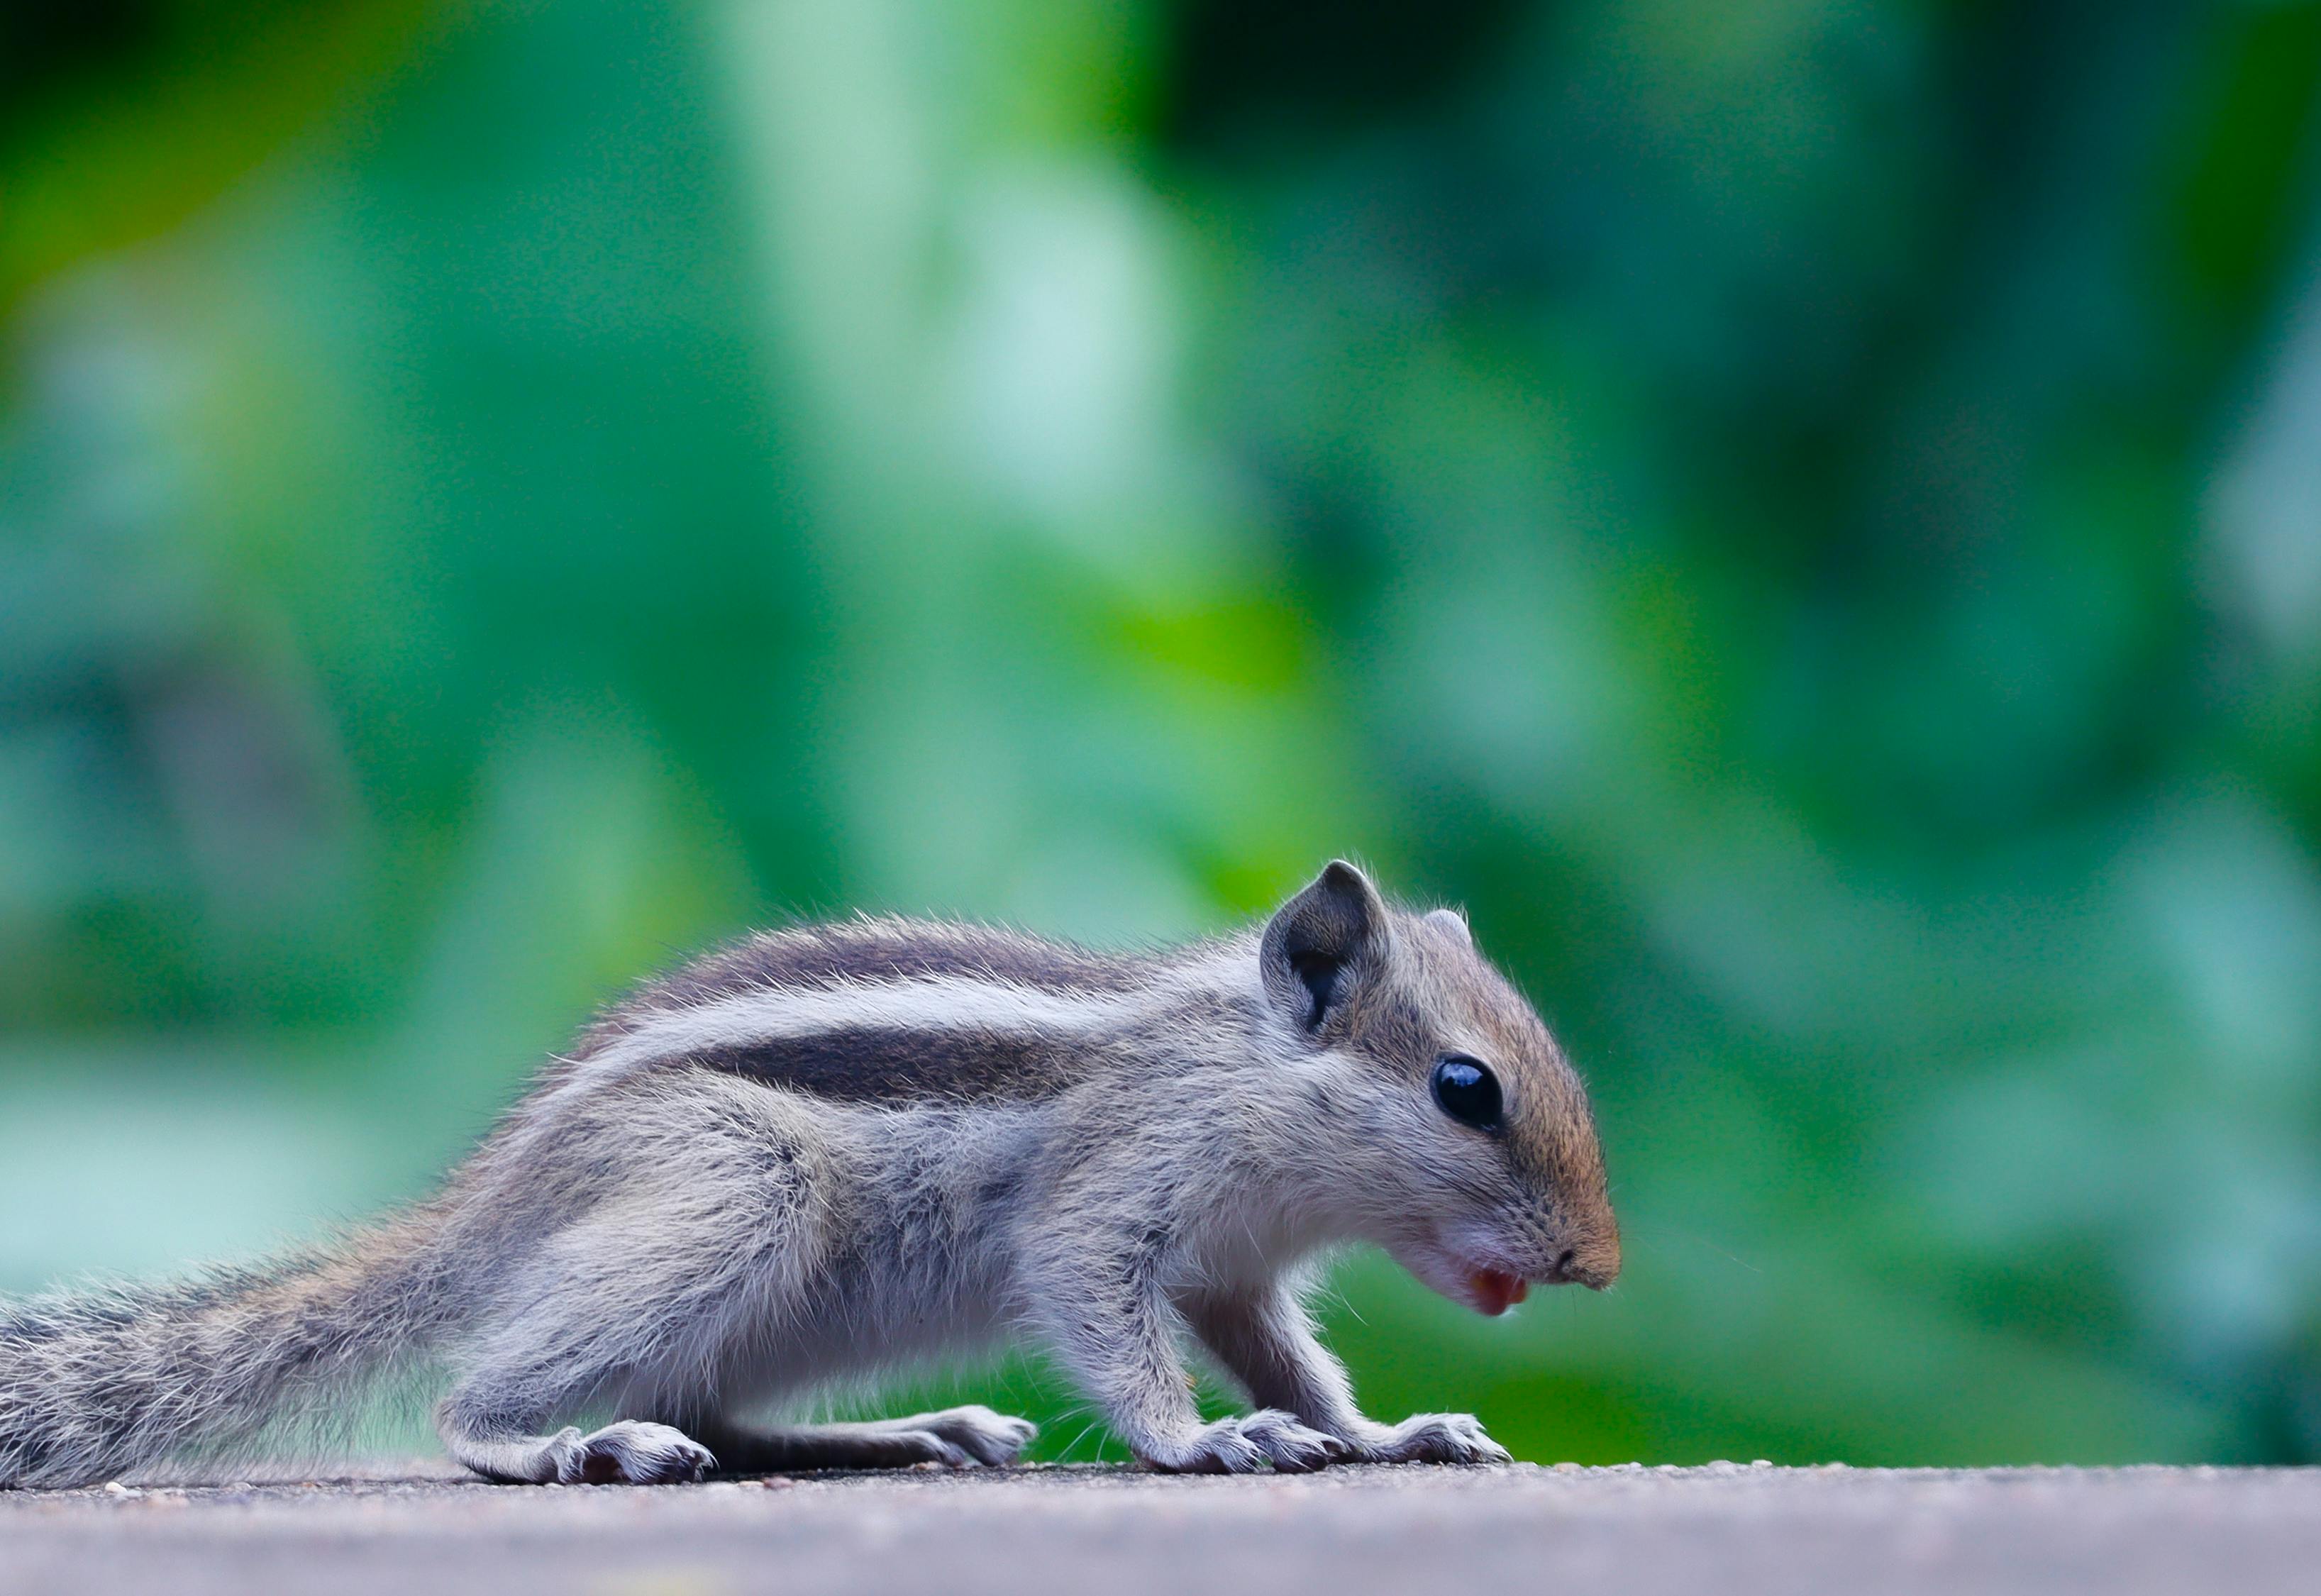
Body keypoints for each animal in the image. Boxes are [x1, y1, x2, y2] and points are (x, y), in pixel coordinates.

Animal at [0, 860, 1618, 1487]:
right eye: (1464, 1089)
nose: (1595, 1269)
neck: (1237, 1073)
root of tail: (493, 1198)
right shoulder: (1108, 1197)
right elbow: (1107, 1323)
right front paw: (1203, 1443)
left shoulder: (1236, 1274)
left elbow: (1289, 1361)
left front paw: (1385, 1433)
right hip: (733, 1194)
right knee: (485, 1404)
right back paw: (561, 1445)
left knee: (715, 1411)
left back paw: (903, 1436)